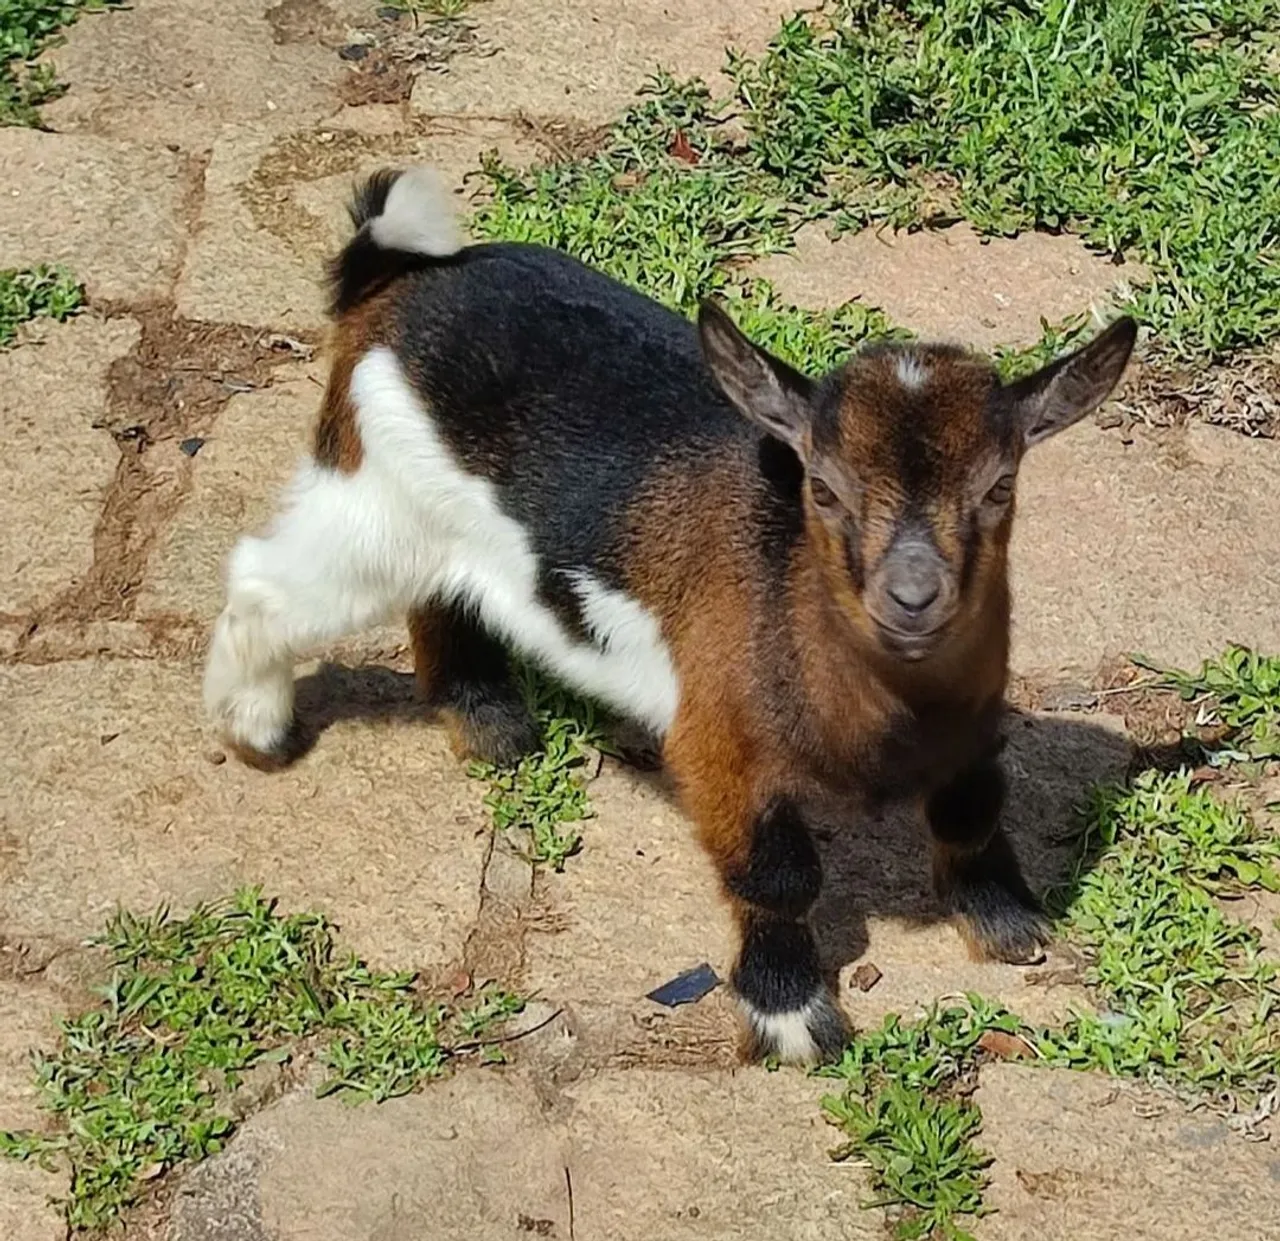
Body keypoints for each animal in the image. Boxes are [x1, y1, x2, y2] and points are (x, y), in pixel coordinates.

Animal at [204, 167, 1136, 1064]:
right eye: (824, 488)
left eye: (1000, 487)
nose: (912, 595)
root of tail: (395, 277)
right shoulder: (721, 741)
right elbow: (778, 876)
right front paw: (790, 1017)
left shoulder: (973, 714)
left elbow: (972, 809)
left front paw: (1007, 924)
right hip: (368, 495)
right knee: (268, 577)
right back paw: (258, 729)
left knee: (444, 592)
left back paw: (490, 722)